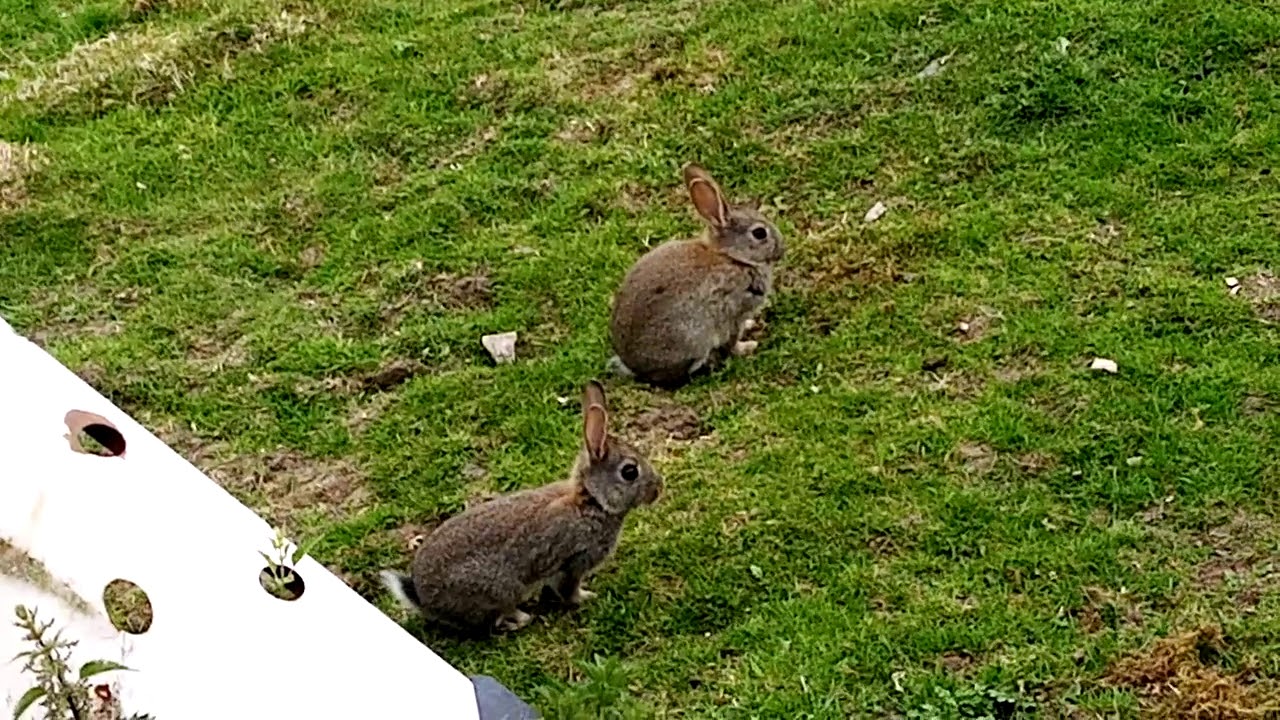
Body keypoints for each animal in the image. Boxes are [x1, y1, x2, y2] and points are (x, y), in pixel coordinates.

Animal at [379, 381, 662, 633]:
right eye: (629, 472)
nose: (658, 489)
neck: (591, 501)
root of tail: (424, 601)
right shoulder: (573, 561)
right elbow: (568, 589)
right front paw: (586, 597)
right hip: (500, 589)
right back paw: (520, 619)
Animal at [609, 163, 785, 388]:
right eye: (760, 233)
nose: (781, 250)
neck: (732, 257)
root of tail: (632, 366)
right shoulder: (733, 313)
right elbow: (732, 341)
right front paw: (747, 347)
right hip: (692, 338)